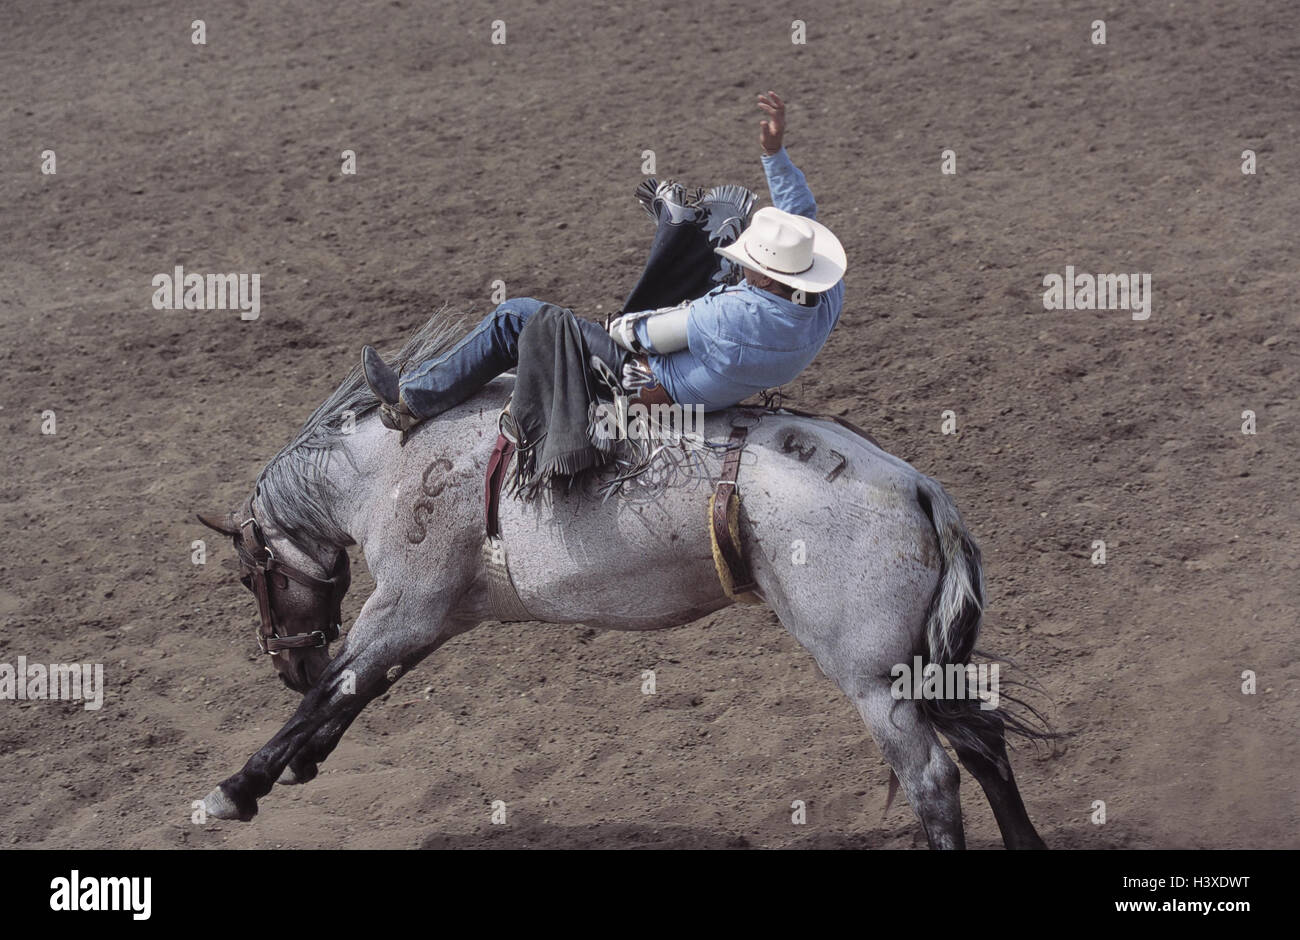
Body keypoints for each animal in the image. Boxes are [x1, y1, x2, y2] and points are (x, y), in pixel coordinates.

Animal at [195, 309, 1051, 849]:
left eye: (246, 575)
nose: (284, 660)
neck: (393, 464)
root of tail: (917, 487)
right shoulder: (435, 615)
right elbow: (353, 689)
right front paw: (302, 759)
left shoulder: (405, 604)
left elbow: (332, 688)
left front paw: (235, 789)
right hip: (918, 664)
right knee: (984, 744)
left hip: (873, 677)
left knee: (935, 777)